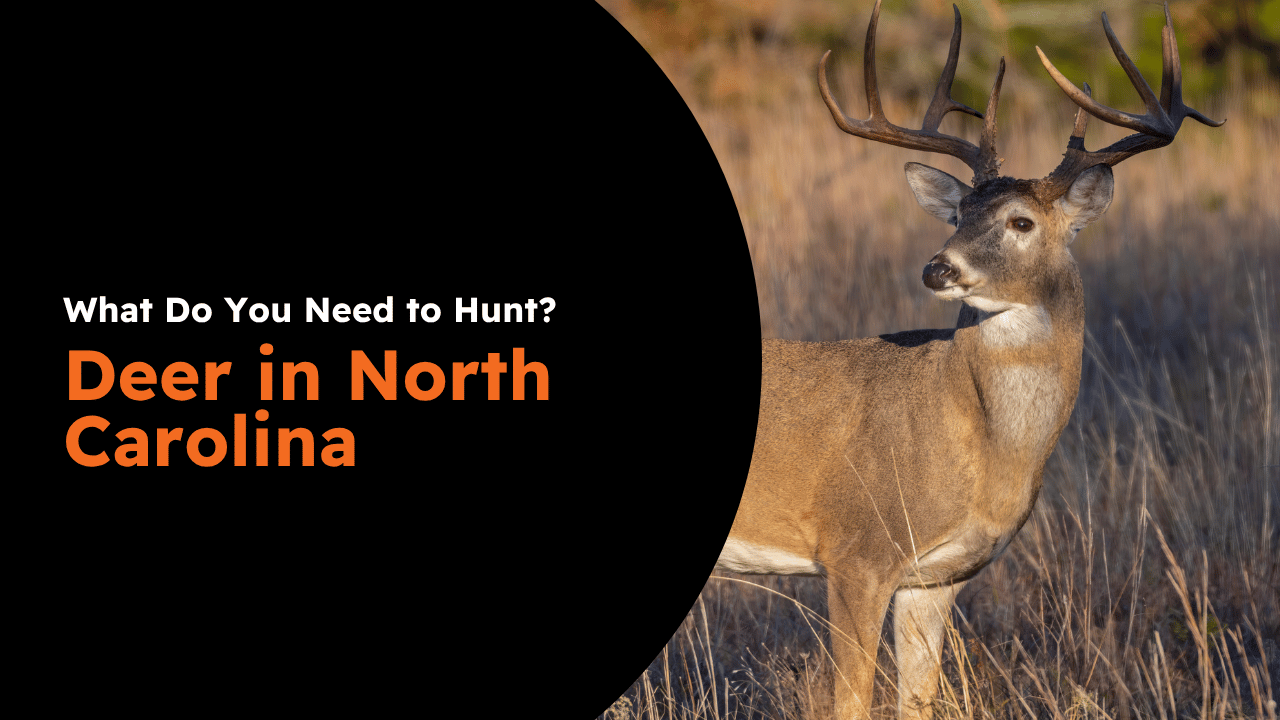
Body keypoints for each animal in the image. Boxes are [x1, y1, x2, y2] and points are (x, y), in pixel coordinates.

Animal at [714, 2, 1223, 718]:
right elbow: (851, 701)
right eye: (957, 213)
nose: (938, 267)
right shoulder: (856, 550)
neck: (977, 440)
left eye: (1020, 222)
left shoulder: (935, 578)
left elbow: (917, 700)